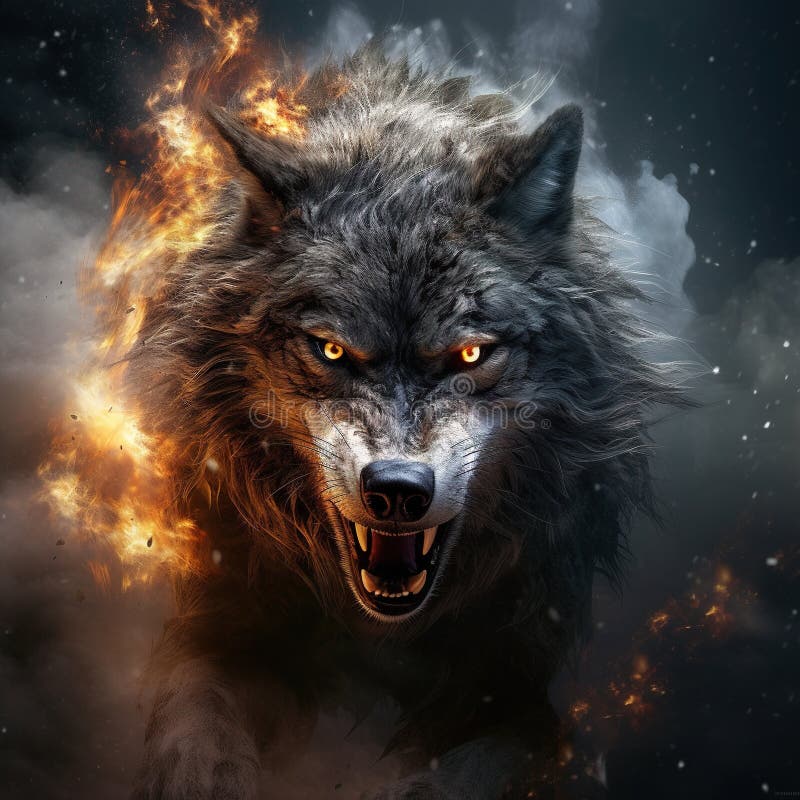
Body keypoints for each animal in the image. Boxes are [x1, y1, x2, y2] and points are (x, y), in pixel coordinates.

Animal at [129, 47, 682, 799]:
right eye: (332, 350)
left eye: (470, 354)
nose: (395, 490)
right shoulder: (224, 632)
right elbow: (196, 734)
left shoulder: (520, 705)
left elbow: (453, 775)